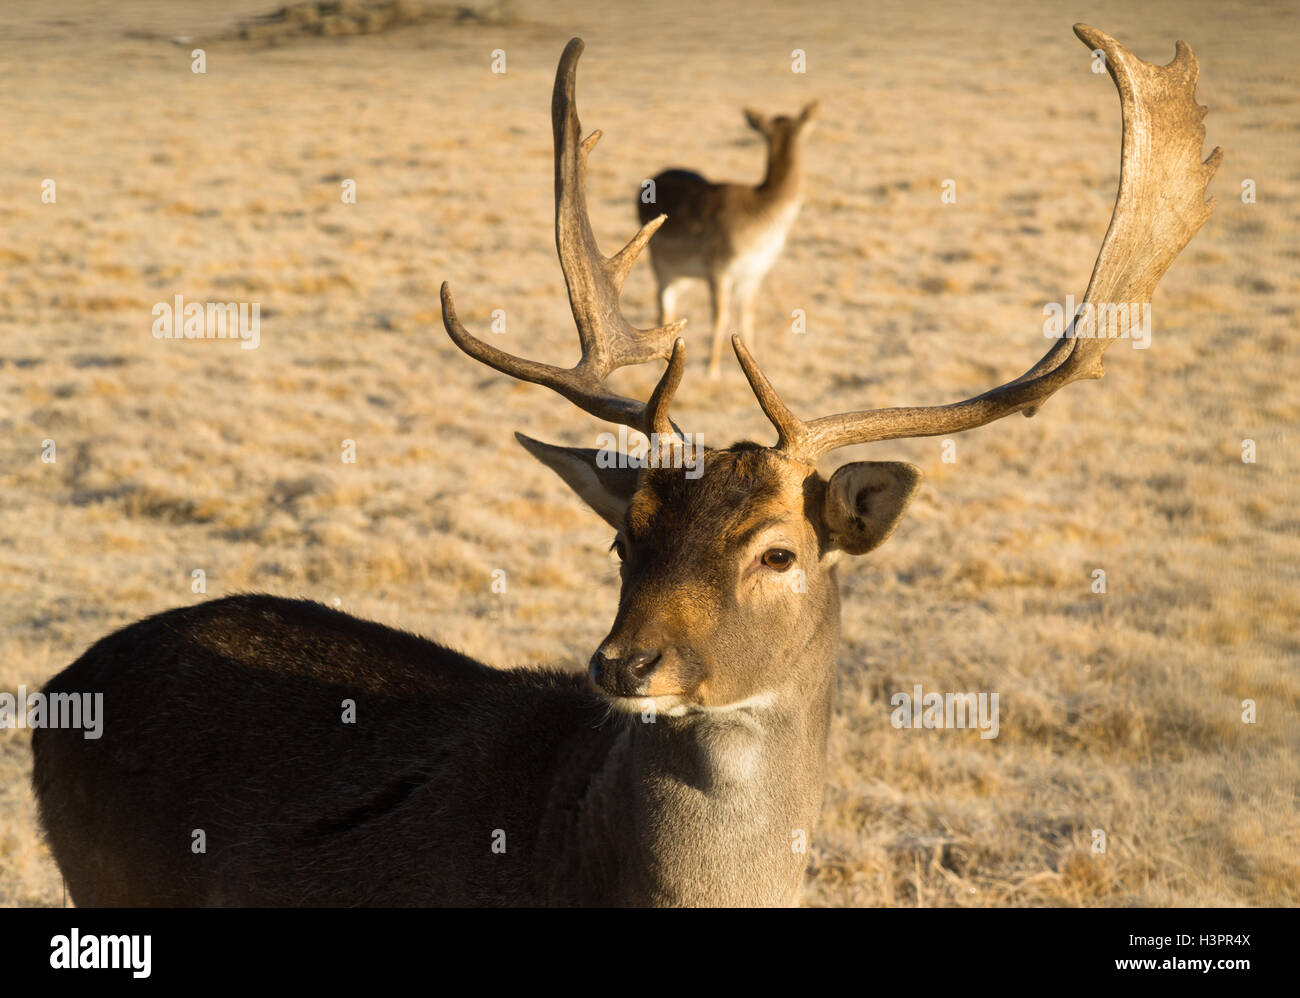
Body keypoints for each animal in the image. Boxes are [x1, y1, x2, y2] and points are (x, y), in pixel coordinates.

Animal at [636, 99, 818, 379]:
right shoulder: (718, 268)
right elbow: (720, 316)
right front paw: (712, 371)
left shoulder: (755, 272)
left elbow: (747, 315)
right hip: (660, 264)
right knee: (664, 305)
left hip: (682, 274)